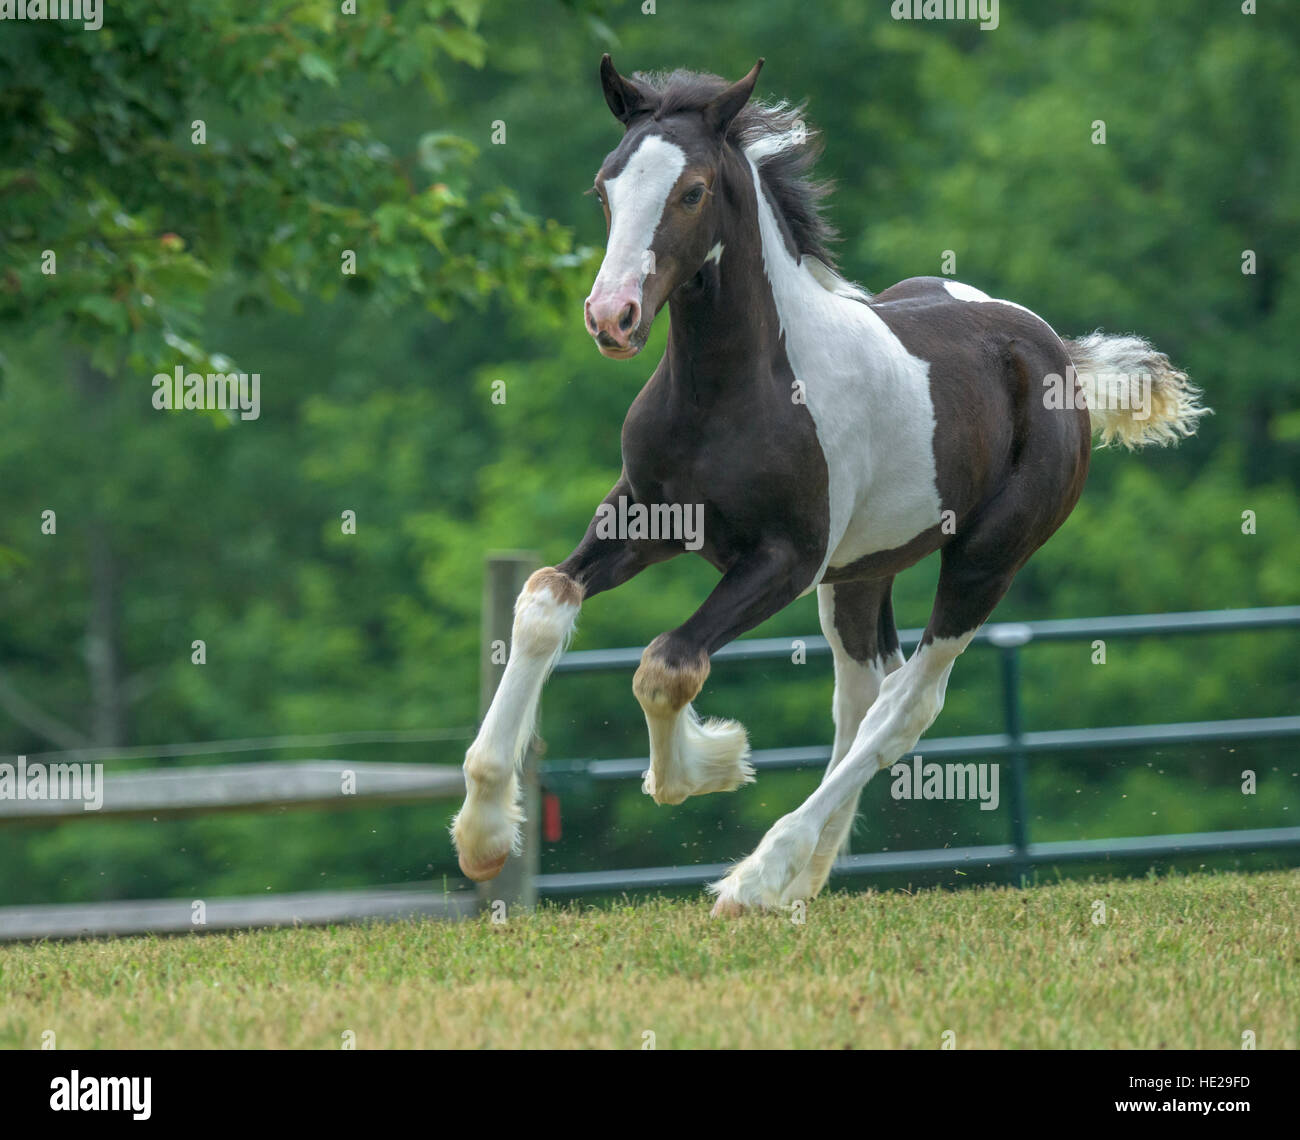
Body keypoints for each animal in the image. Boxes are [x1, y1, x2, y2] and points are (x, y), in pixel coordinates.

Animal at [451, 57, 1208, 916]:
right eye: (605, 187)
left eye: (693, 191)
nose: (612, 317)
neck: (731, 390)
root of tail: (1061, 356)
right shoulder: (644, 517)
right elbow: (547, 600)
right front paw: (483, 833)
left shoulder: (786, 558)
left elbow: (668, 663)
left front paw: (710, 763)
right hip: (861, 573)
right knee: (864, 695)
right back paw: (804, 876)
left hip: (985, 561)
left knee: (907, 704)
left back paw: (759, 876)